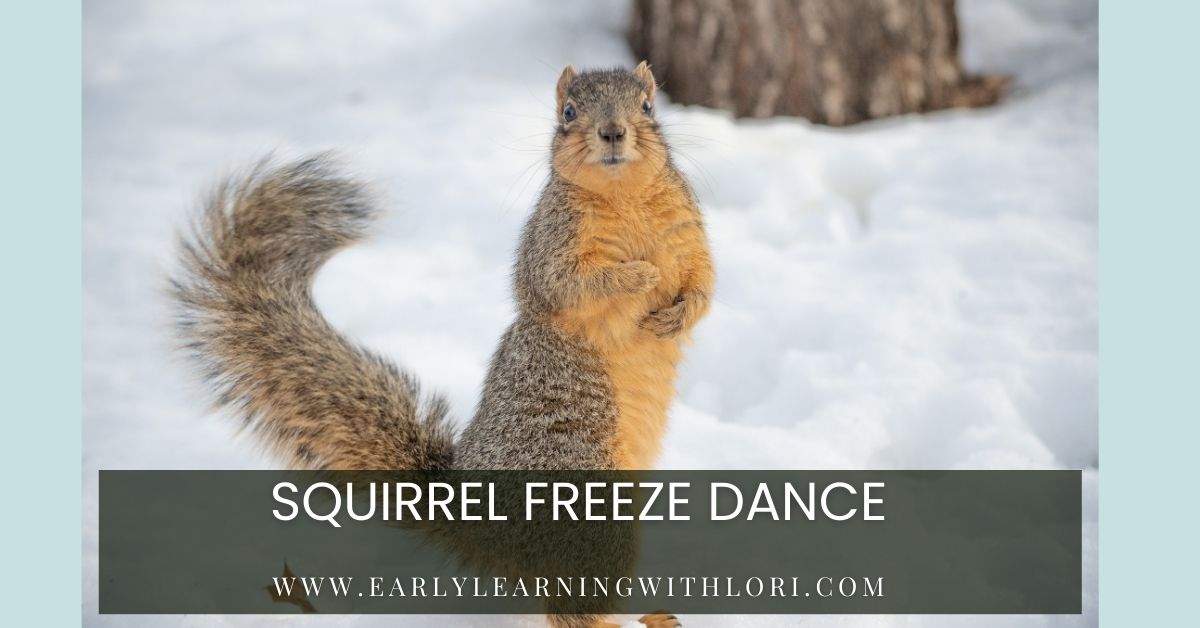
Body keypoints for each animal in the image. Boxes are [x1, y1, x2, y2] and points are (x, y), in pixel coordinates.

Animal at [172, 62, 712, 627]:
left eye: (648, 106)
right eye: (567, 112)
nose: (612, 133)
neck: (622, 193)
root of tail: (473, 525)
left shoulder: (689, 231)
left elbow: (705, 281)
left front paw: (681, 311)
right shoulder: (549, 248)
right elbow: (567, 286)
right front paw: (638, 275)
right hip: (586, 500)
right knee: (574, 606)